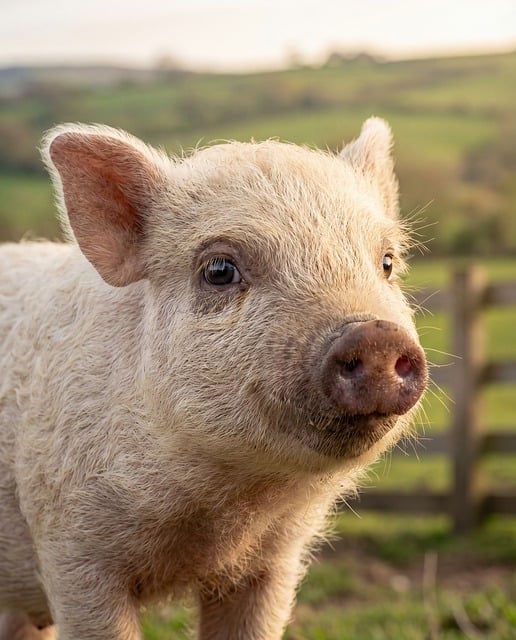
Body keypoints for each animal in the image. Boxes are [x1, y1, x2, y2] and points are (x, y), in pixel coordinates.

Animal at [0, 117, 427, 639]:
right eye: (219, 270)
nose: (375, 334)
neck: (221, 515)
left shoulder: (274, 561)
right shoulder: (70, 543)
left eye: (387, 263)